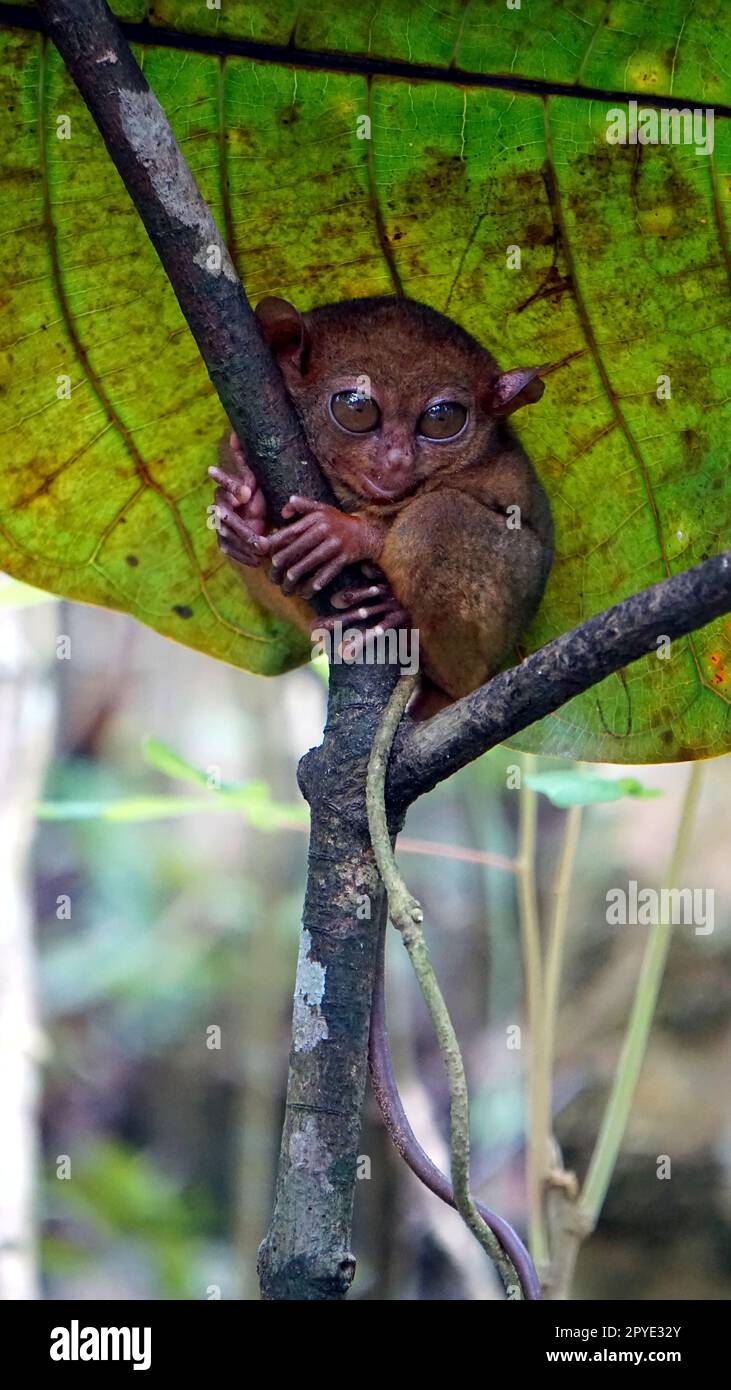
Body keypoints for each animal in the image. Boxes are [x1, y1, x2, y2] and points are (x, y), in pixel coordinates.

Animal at [208, 295, 552, 1297]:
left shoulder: (499, 476)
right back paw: (259, 535)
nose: (397, 463)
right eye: (355, 409)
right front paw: (251, 507)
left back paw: (402, 622)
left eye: (443, 420)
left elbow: (479, 513)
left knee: (439, 526)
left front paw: (355, 534)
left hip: (486, 648)